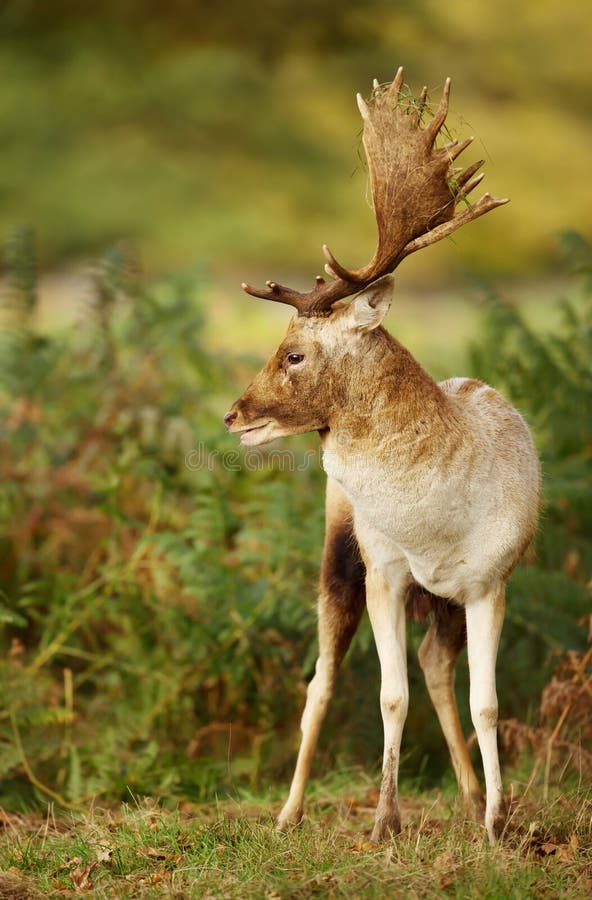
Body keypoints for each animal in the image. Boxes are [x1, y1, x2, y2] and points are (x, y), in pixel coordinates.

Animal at [223, 68, 540, 845]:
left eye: (293, 353)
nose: (233, 415)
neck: (435, 522)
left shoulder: (492, 580)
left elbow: (486, 702)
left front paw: (496, 823)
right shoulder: (386, 572)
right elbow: (389, 696)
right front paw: (383, 821)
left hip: (445, 601)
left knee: (436, 669)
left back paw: (468, 799)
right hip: (340, 555)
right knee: (322, 680)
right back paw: (288, 813)